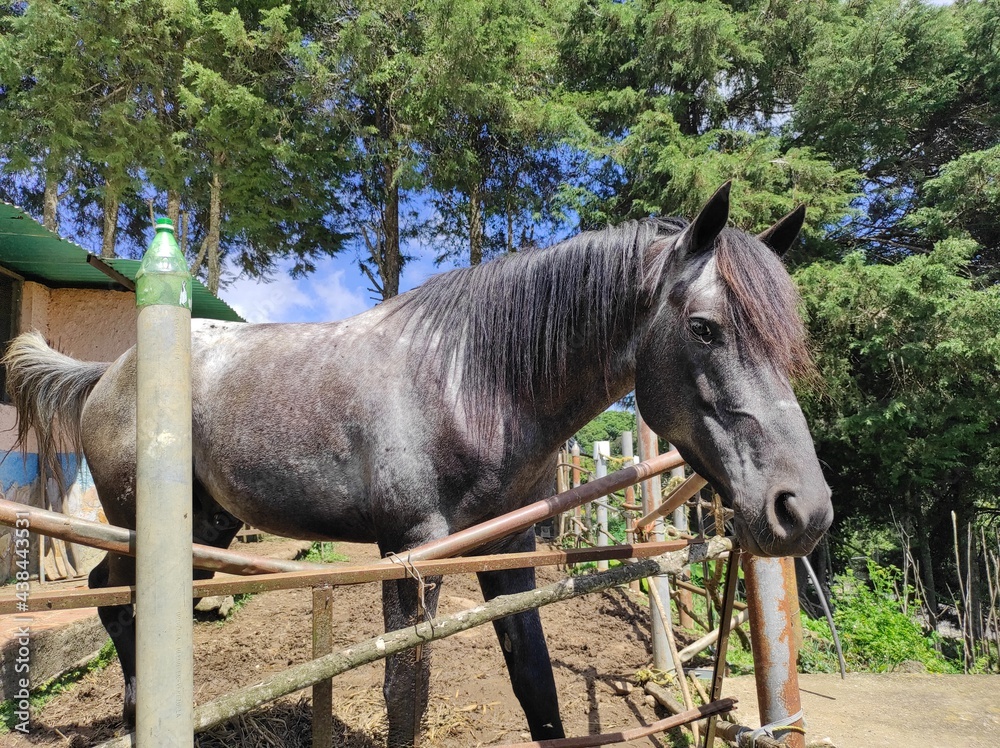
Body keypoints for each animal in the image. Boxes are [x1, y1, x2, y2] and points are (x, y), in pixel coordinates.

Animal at [4, 183, 832, 746]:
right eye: (704, 328)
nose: (803, 509)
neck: (471, 384)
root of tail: (107, 373)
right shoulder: (411, 555)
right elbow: (406, 694)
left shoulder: (508, 551)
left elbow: (537, 689)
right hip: (139, 519)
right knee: (112, 599)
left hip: (203, 526)